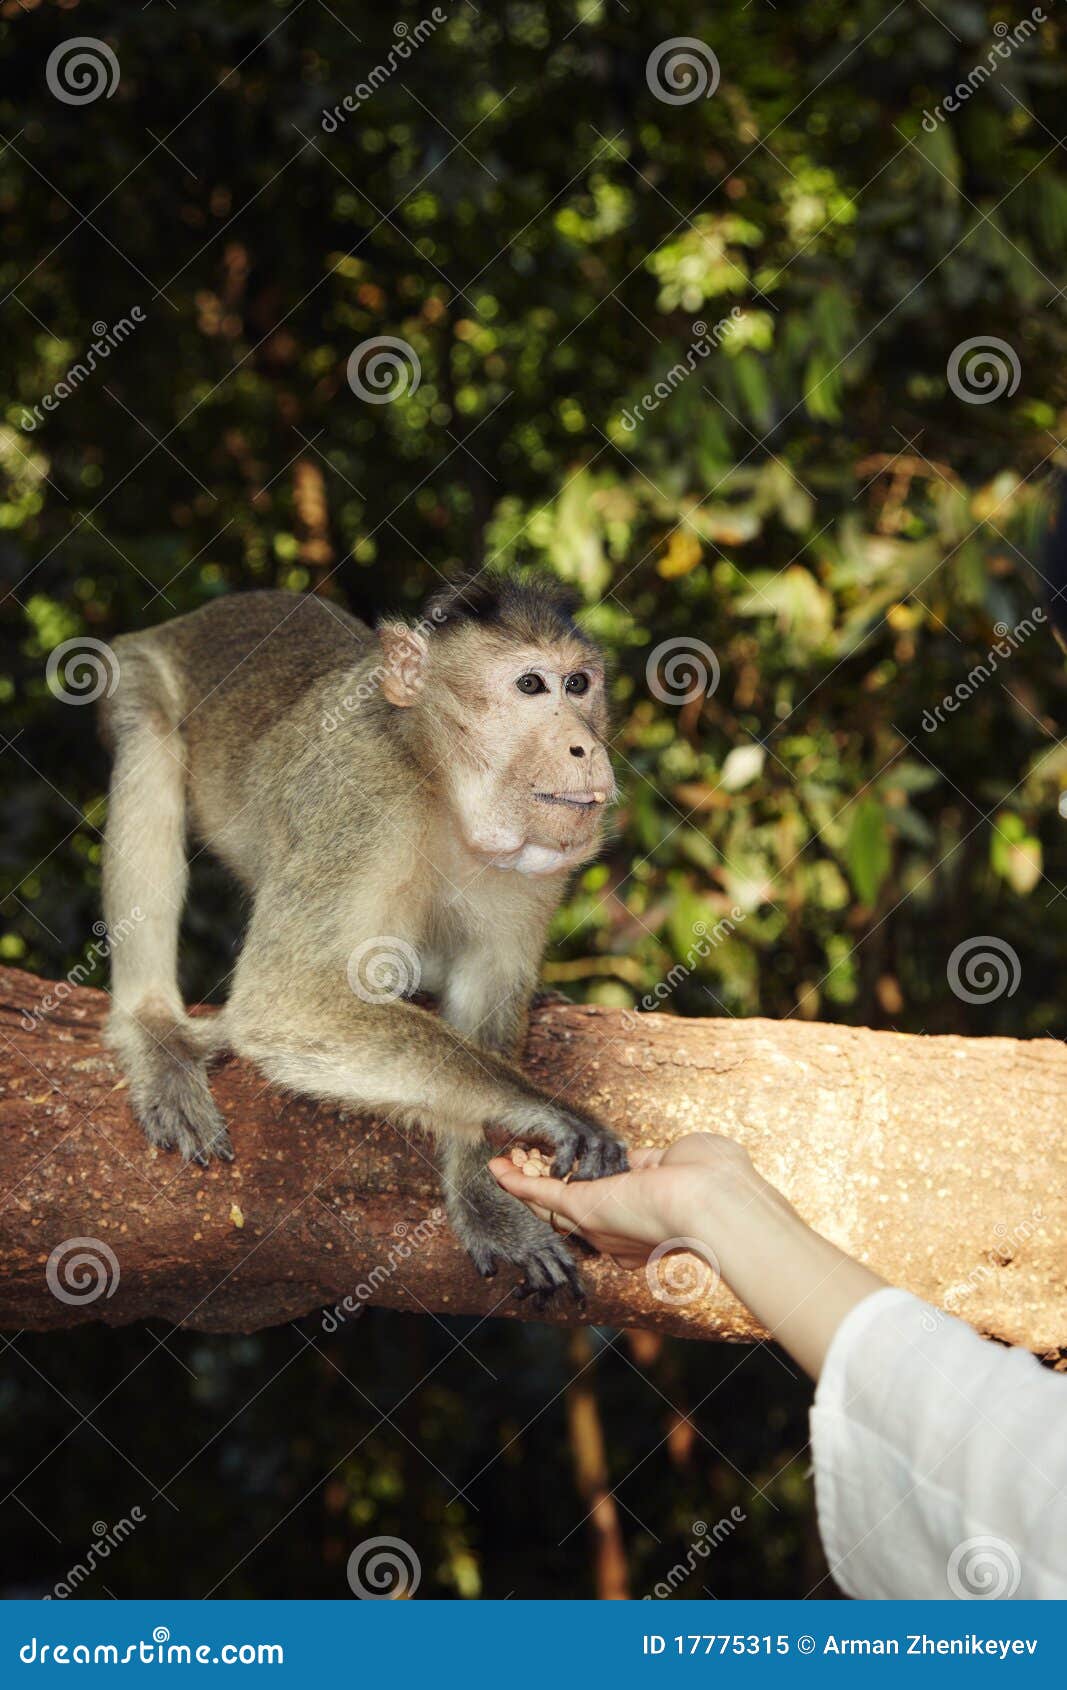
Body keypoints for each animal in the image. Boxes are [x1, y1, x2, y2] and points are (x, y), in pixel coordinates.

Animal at [99, 576, 628, 1305]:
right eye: (530, 685)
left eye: (579, 684)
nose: (586, 746)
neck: (438, 782)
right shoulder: (358, 798)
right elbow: (285, 1003)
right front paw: (544, 1109)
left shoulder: (536, 865)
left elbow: (486, 988)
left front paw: (477, 1182)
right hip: (143, 676)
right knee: (150, 760)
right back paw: (152, 1028)